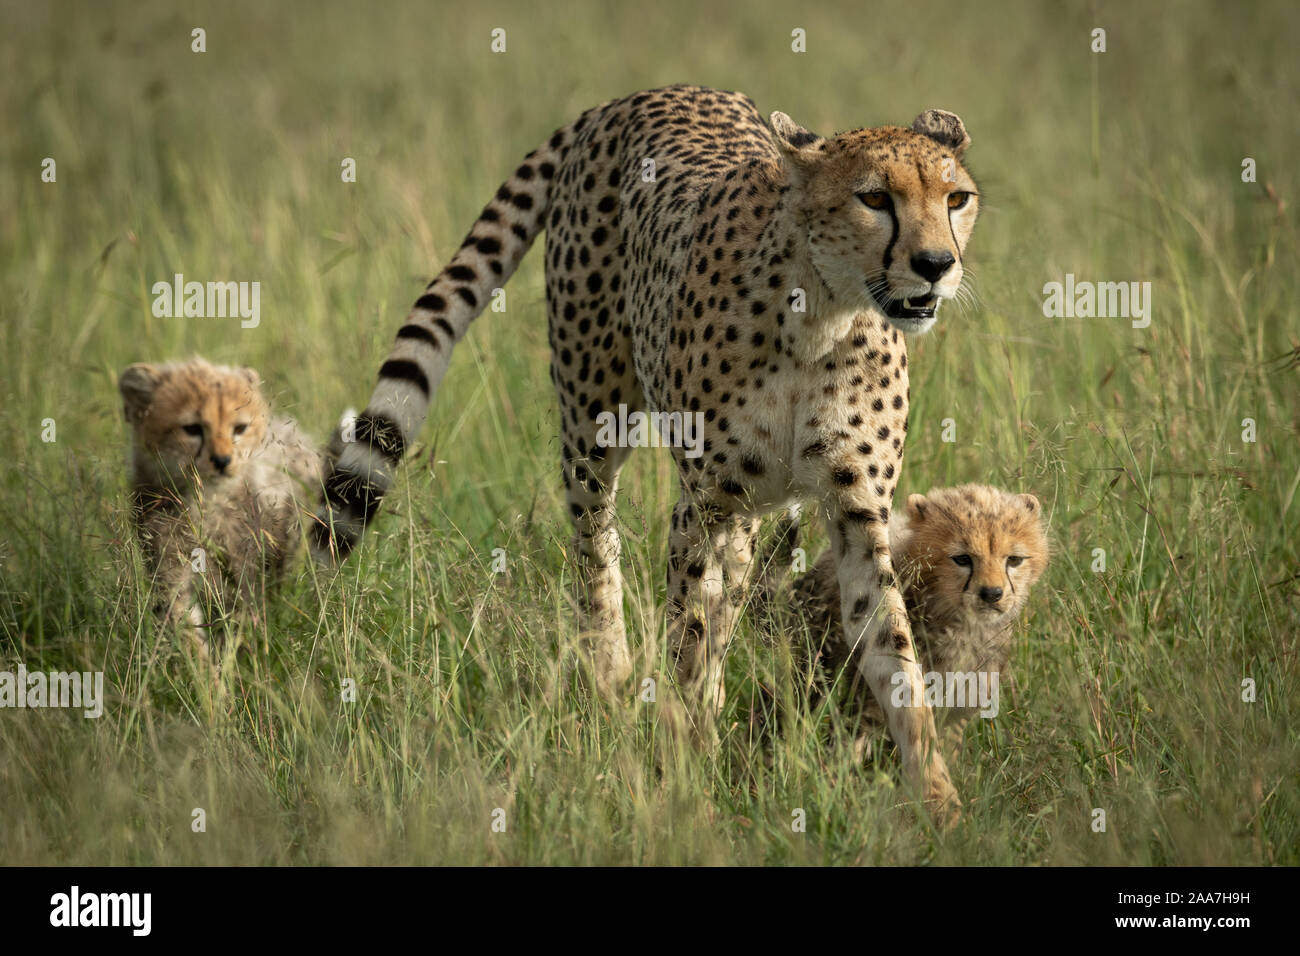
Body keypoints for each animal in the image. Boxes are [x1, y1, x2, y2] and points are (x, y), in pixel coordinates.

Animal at [312, 85, 981, 814]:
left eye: (956, 198)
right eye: (874, 198)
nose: (936, 266)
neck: (824, 315)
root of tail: (633, 97)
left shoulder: (855, 509)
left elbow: (891, 646)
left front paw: (939, 798)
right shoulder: (703, 501)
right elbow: (687, 636)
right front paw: (687, 768)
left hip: (750, 513)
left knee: (730, 590)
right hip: (593, 420)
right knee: (594, 542)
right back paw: (610, 672)